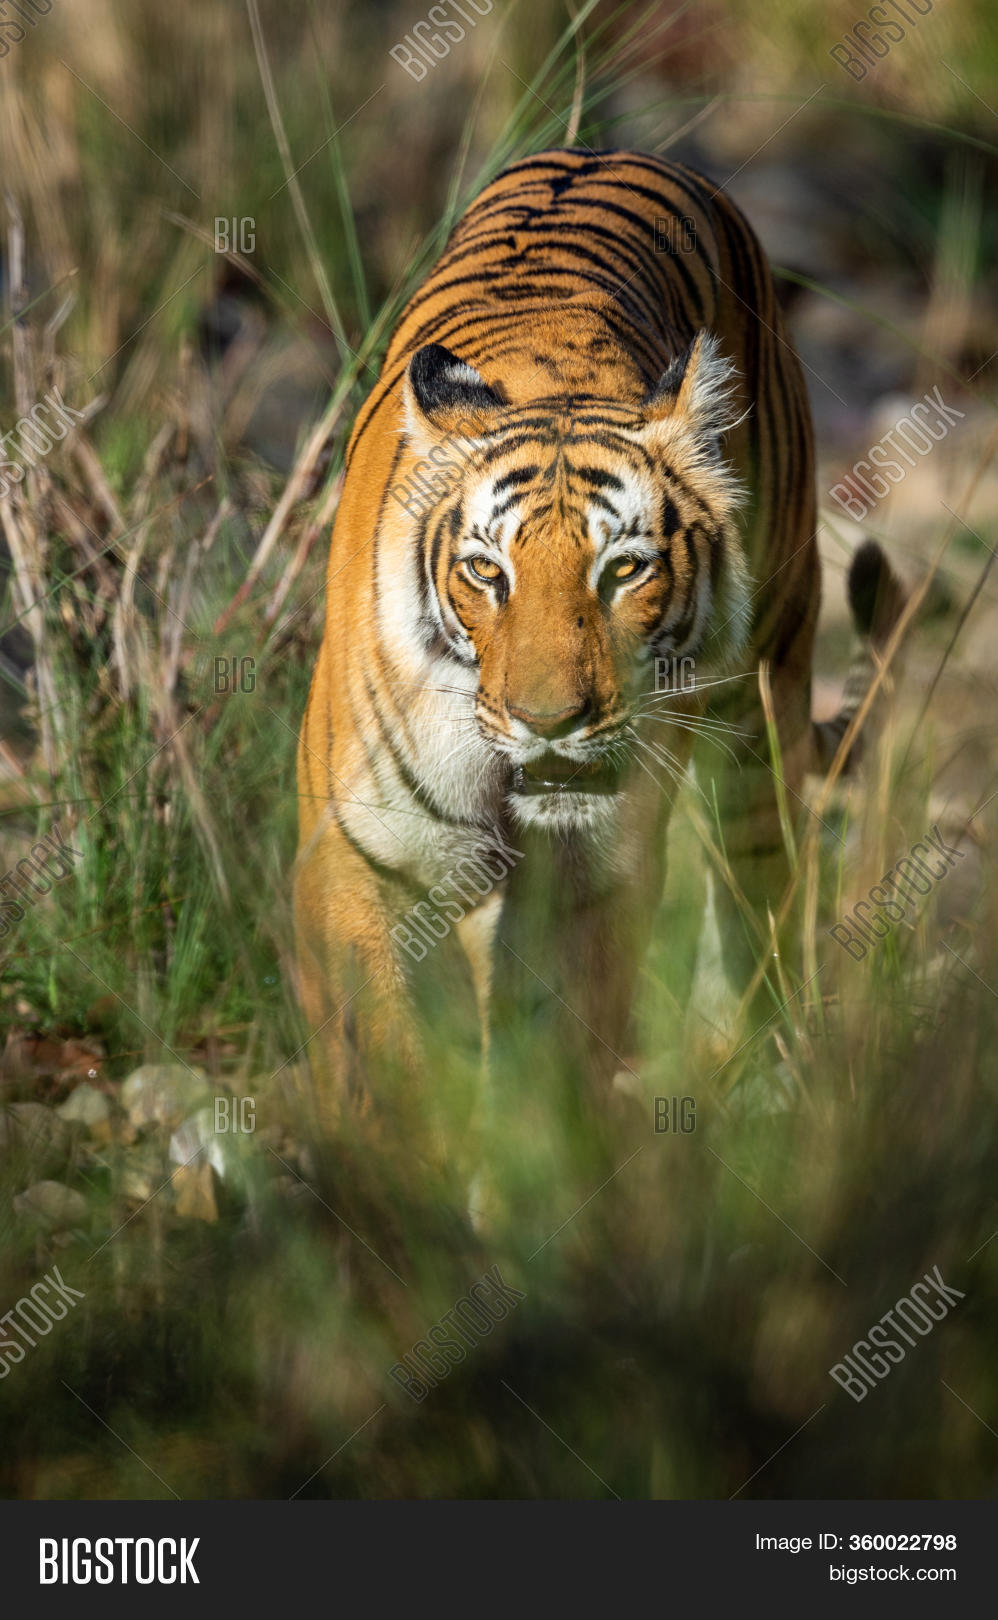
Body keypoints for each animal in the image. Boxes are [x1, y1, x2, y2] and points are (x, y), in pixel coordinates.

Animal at [293, 147, 901, 1133]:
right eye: (486, 572)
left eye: (624, 570)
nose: (549, 723)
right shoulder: (358, 862)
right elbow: (390, 1063)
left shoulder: (597, 880)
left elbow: (553, 1056)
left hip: (765, 698)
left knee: (757, 890)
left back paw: (764, 1072)